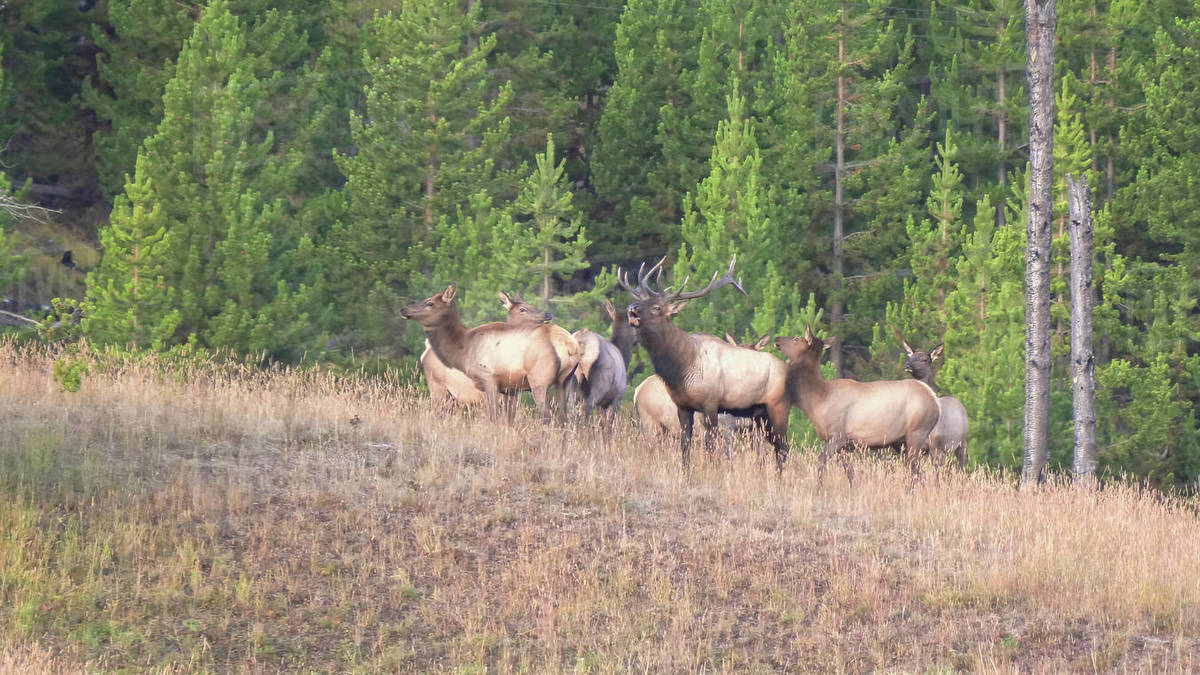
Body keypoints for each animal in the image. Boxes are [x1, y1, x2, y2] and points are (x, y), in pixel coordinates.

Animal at [620, 256, 791, 470]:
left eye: (657, 307)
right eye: (642, 301)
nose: (631, 310)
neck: (683, 368)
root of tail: (637, 391)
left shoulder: (711, 404)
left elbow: (711, 447)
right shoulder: (683, 406)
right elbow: (685, 445)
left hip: (776, 407)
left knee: (782, 447)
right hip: (758, 416)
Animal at [774, 327, 942, 486]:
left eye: (796, 339)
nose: (777, 338)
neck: (817, 401)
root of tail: (934, 400)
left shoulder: (837, 436)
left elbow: (821, 462)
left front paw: (819, 490)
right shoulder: (844, 447)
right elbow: (851, 473)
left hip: (917, 432)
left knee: (917, 472)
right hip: (900, 443)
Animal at [900, 339, 970, 470]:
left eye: (924, 359)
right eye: (910, 356)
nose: (907, 365)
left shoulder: (936, 445)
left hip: (961, 443)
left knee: (961, 467)